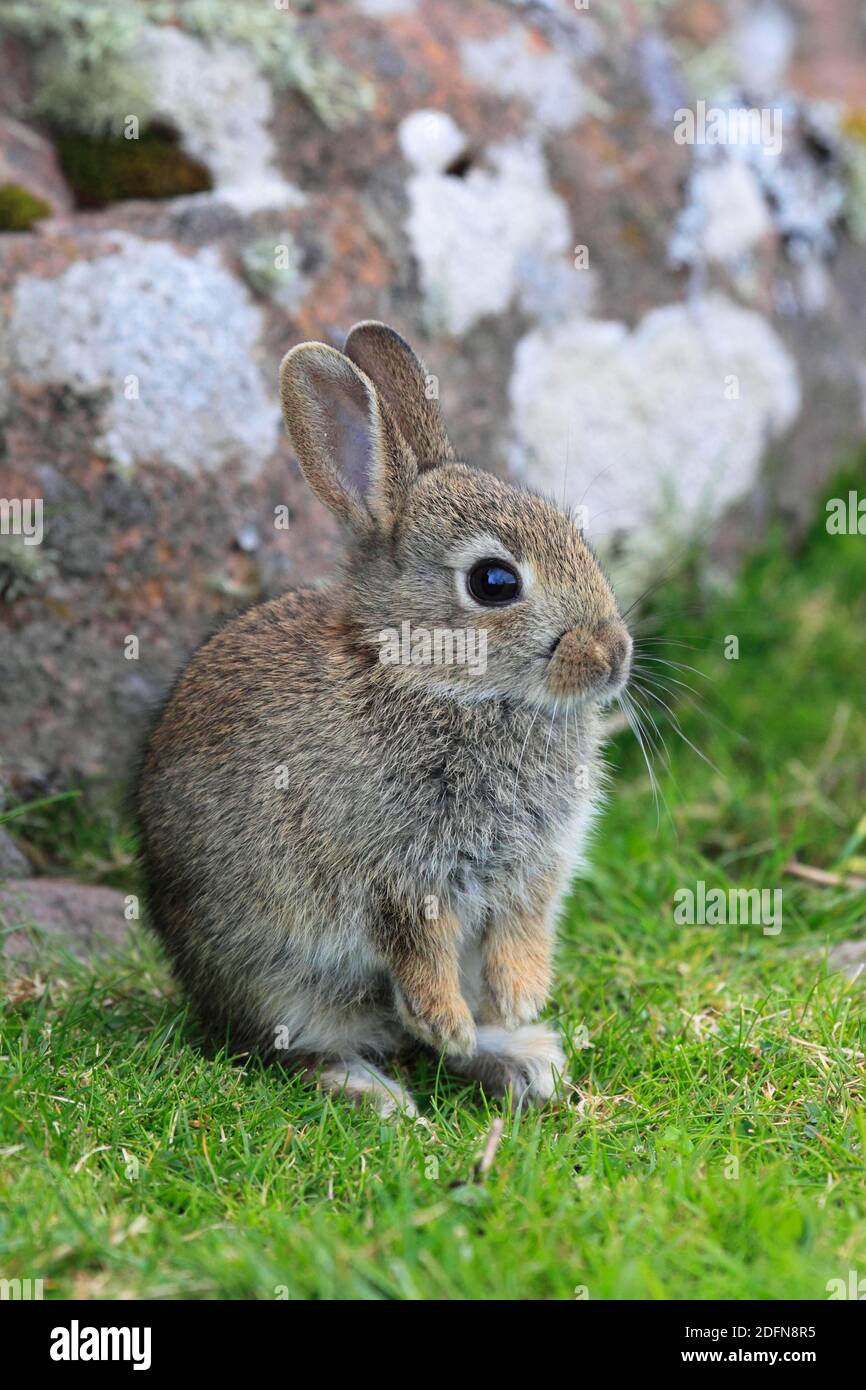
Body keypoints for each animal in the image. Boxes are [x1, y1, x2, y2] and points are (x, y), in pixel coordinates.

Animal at [136, 322, 632, 1117]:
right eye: (495, 582)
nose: (614, 655)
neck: (433, 682)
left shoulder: (530, 873)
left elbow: (521, 934)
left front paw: (520, 1005)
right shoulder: (396, 876)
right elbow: (417, 952)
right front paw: (450, 1022)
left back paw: (518, 1060)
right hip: (276, 983)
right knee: (294, 1046)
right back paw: (374, 1089)